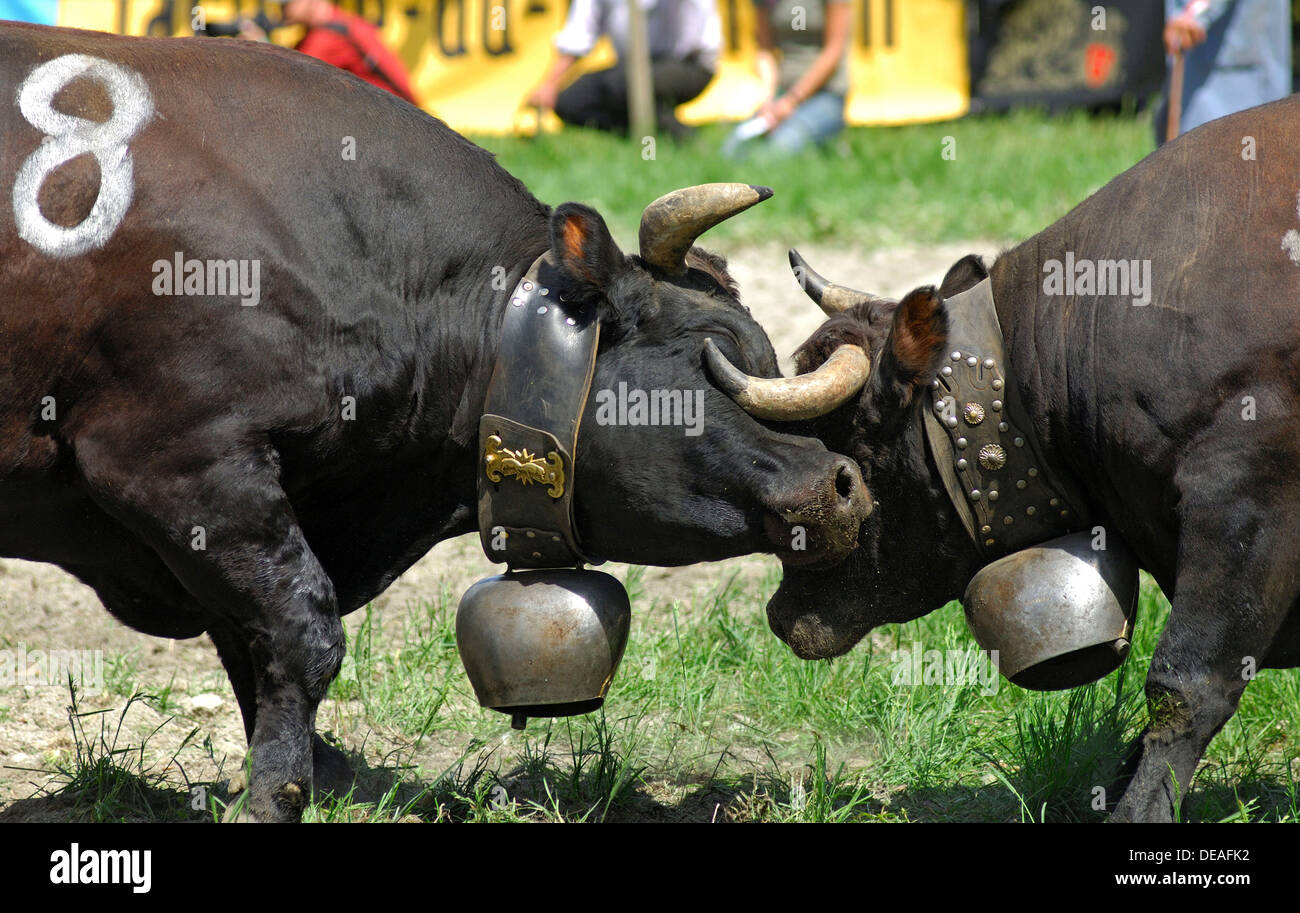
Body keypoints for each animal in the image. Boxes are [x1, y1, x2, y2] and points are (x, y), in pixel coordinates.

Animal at [0, 23, 873, 821]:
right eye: (719, 349)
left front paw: (330, 771)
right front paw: (277, 791)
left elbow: (246, 635)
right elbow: (298, 626)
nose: (843, 482)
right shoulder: (180, 460)